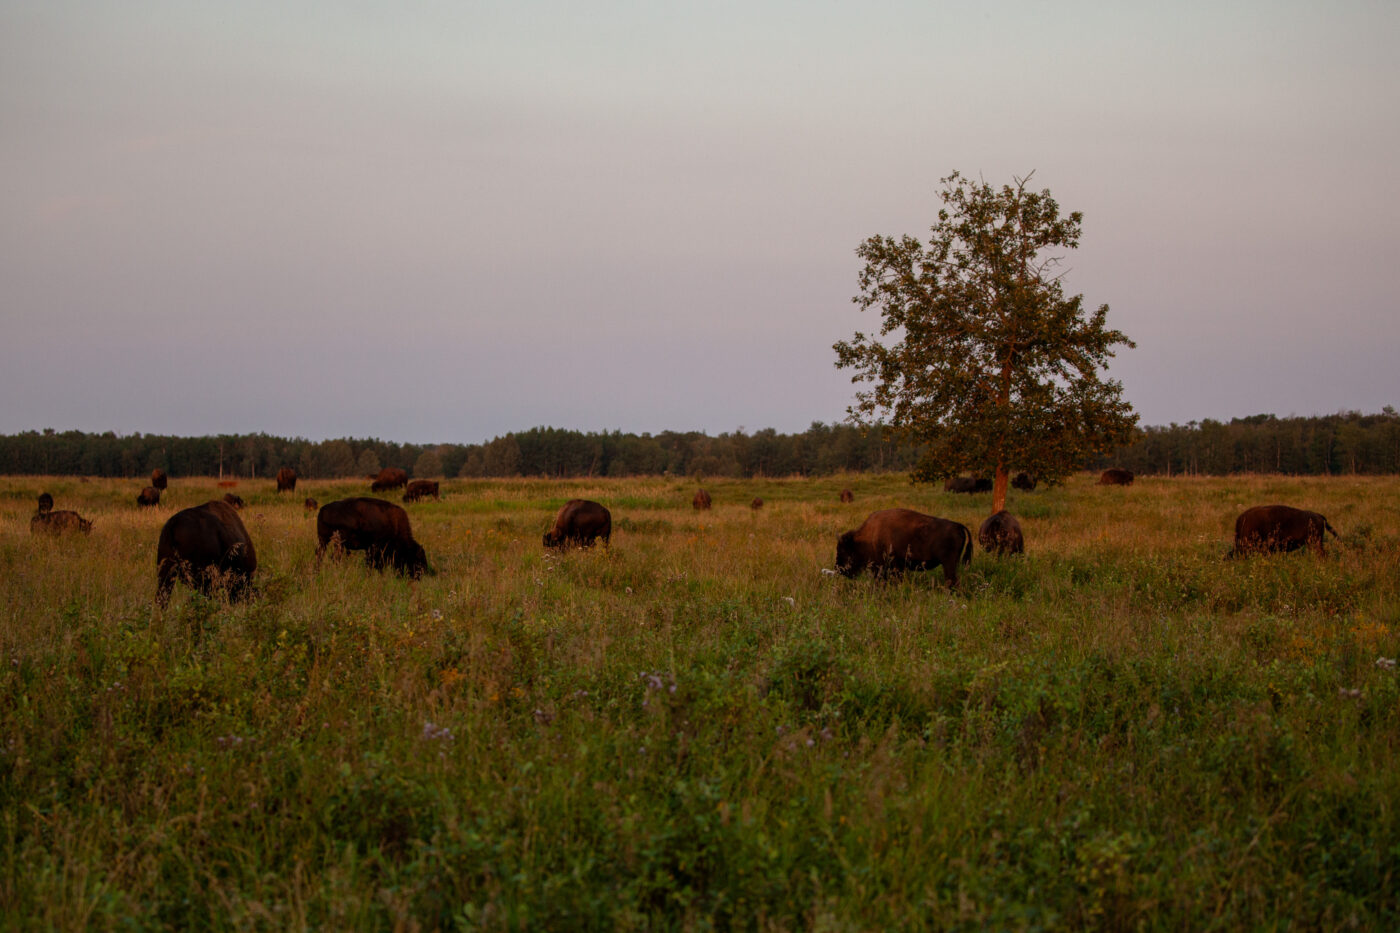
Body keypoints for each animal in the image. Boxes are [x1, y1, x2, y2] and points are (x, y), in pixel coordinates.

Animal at [835, 508, 973, 587]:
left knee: (952, 581)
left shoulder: (892, 567)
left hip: (948, 564)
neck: (868, 538)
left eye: (843, 550)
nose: (838, 569)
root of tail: (958, 526)